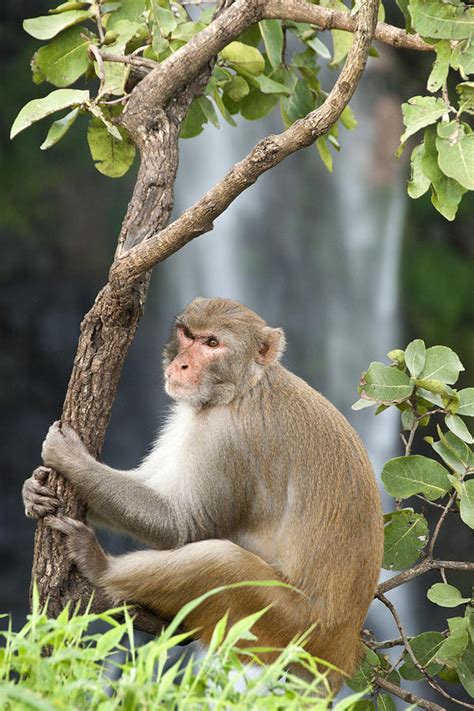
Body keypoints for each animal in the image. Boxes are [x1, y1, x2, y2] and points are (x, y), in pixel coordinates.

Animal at [22, 297, 383, 693]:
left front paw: (70, 459)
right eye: (187, 334)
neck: (243, 386)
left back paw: (101, 568)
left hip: (286, 624)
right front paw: (34, 489)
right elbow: (153, 487)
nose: (182, 363)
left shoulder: (227, 435)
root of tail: (341, 649)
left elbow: (182, 524)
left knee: (221, 561)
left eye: (212, 343)